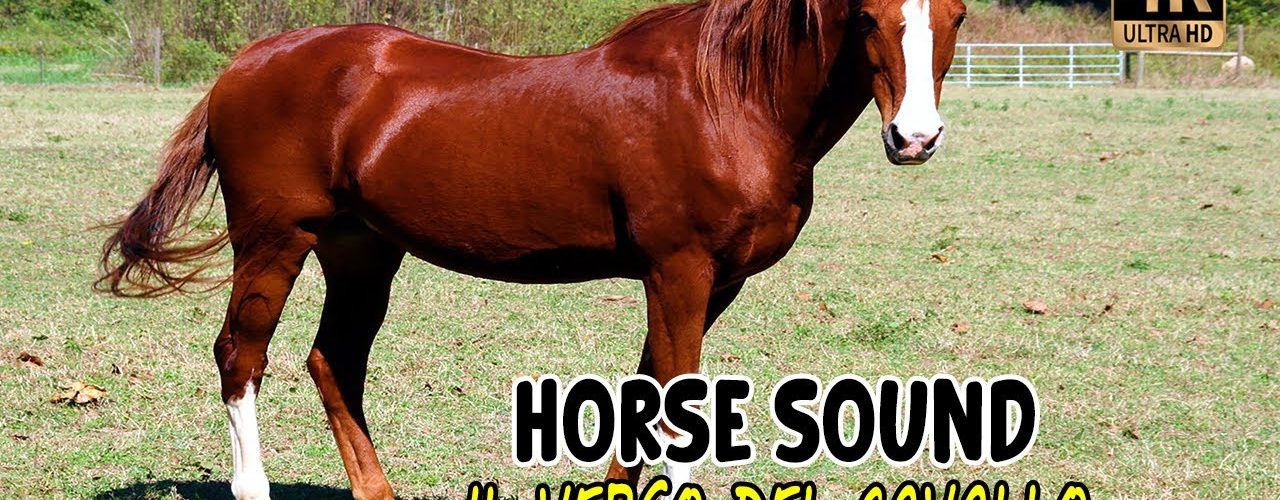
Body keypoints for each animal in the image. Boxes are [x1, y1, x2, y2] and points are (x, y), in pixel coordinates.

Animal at [97, 0, 965, 498]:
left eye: (955, 16)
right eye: (867, 17)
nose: (914, 138)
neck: (727, 96)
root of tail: (244, 65)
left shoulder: (709, 283)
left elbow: (647, 396)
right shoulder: (679, 270)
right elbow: (678, 404)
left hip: (361, 251)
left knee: (333, 361)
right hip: (275, 241)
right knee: (240, 356)